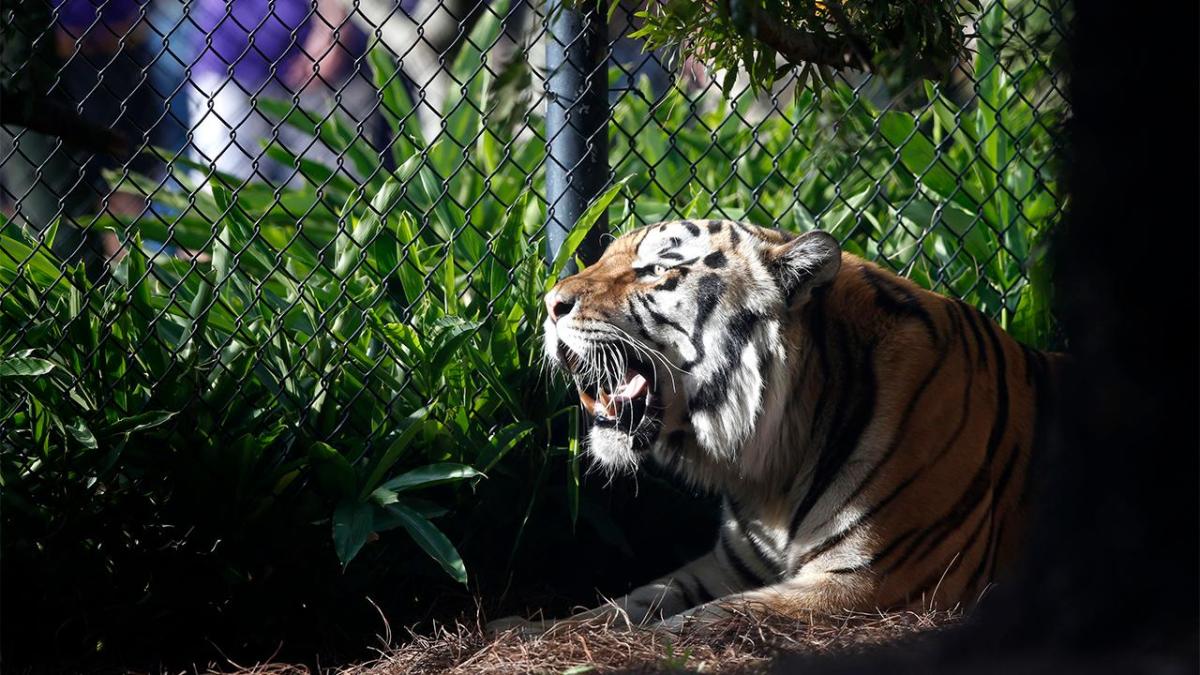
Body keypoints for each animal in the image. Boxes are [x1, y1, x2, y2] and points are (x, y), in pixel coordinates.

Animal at [495, 219, 1063, 633]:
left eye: (655, 269)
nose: (549, 305)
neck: (771, 469)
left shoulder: (869, 583)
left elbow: (693, 622)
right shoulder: (725, 566)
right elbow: (627, 602)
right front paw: (523, 630)